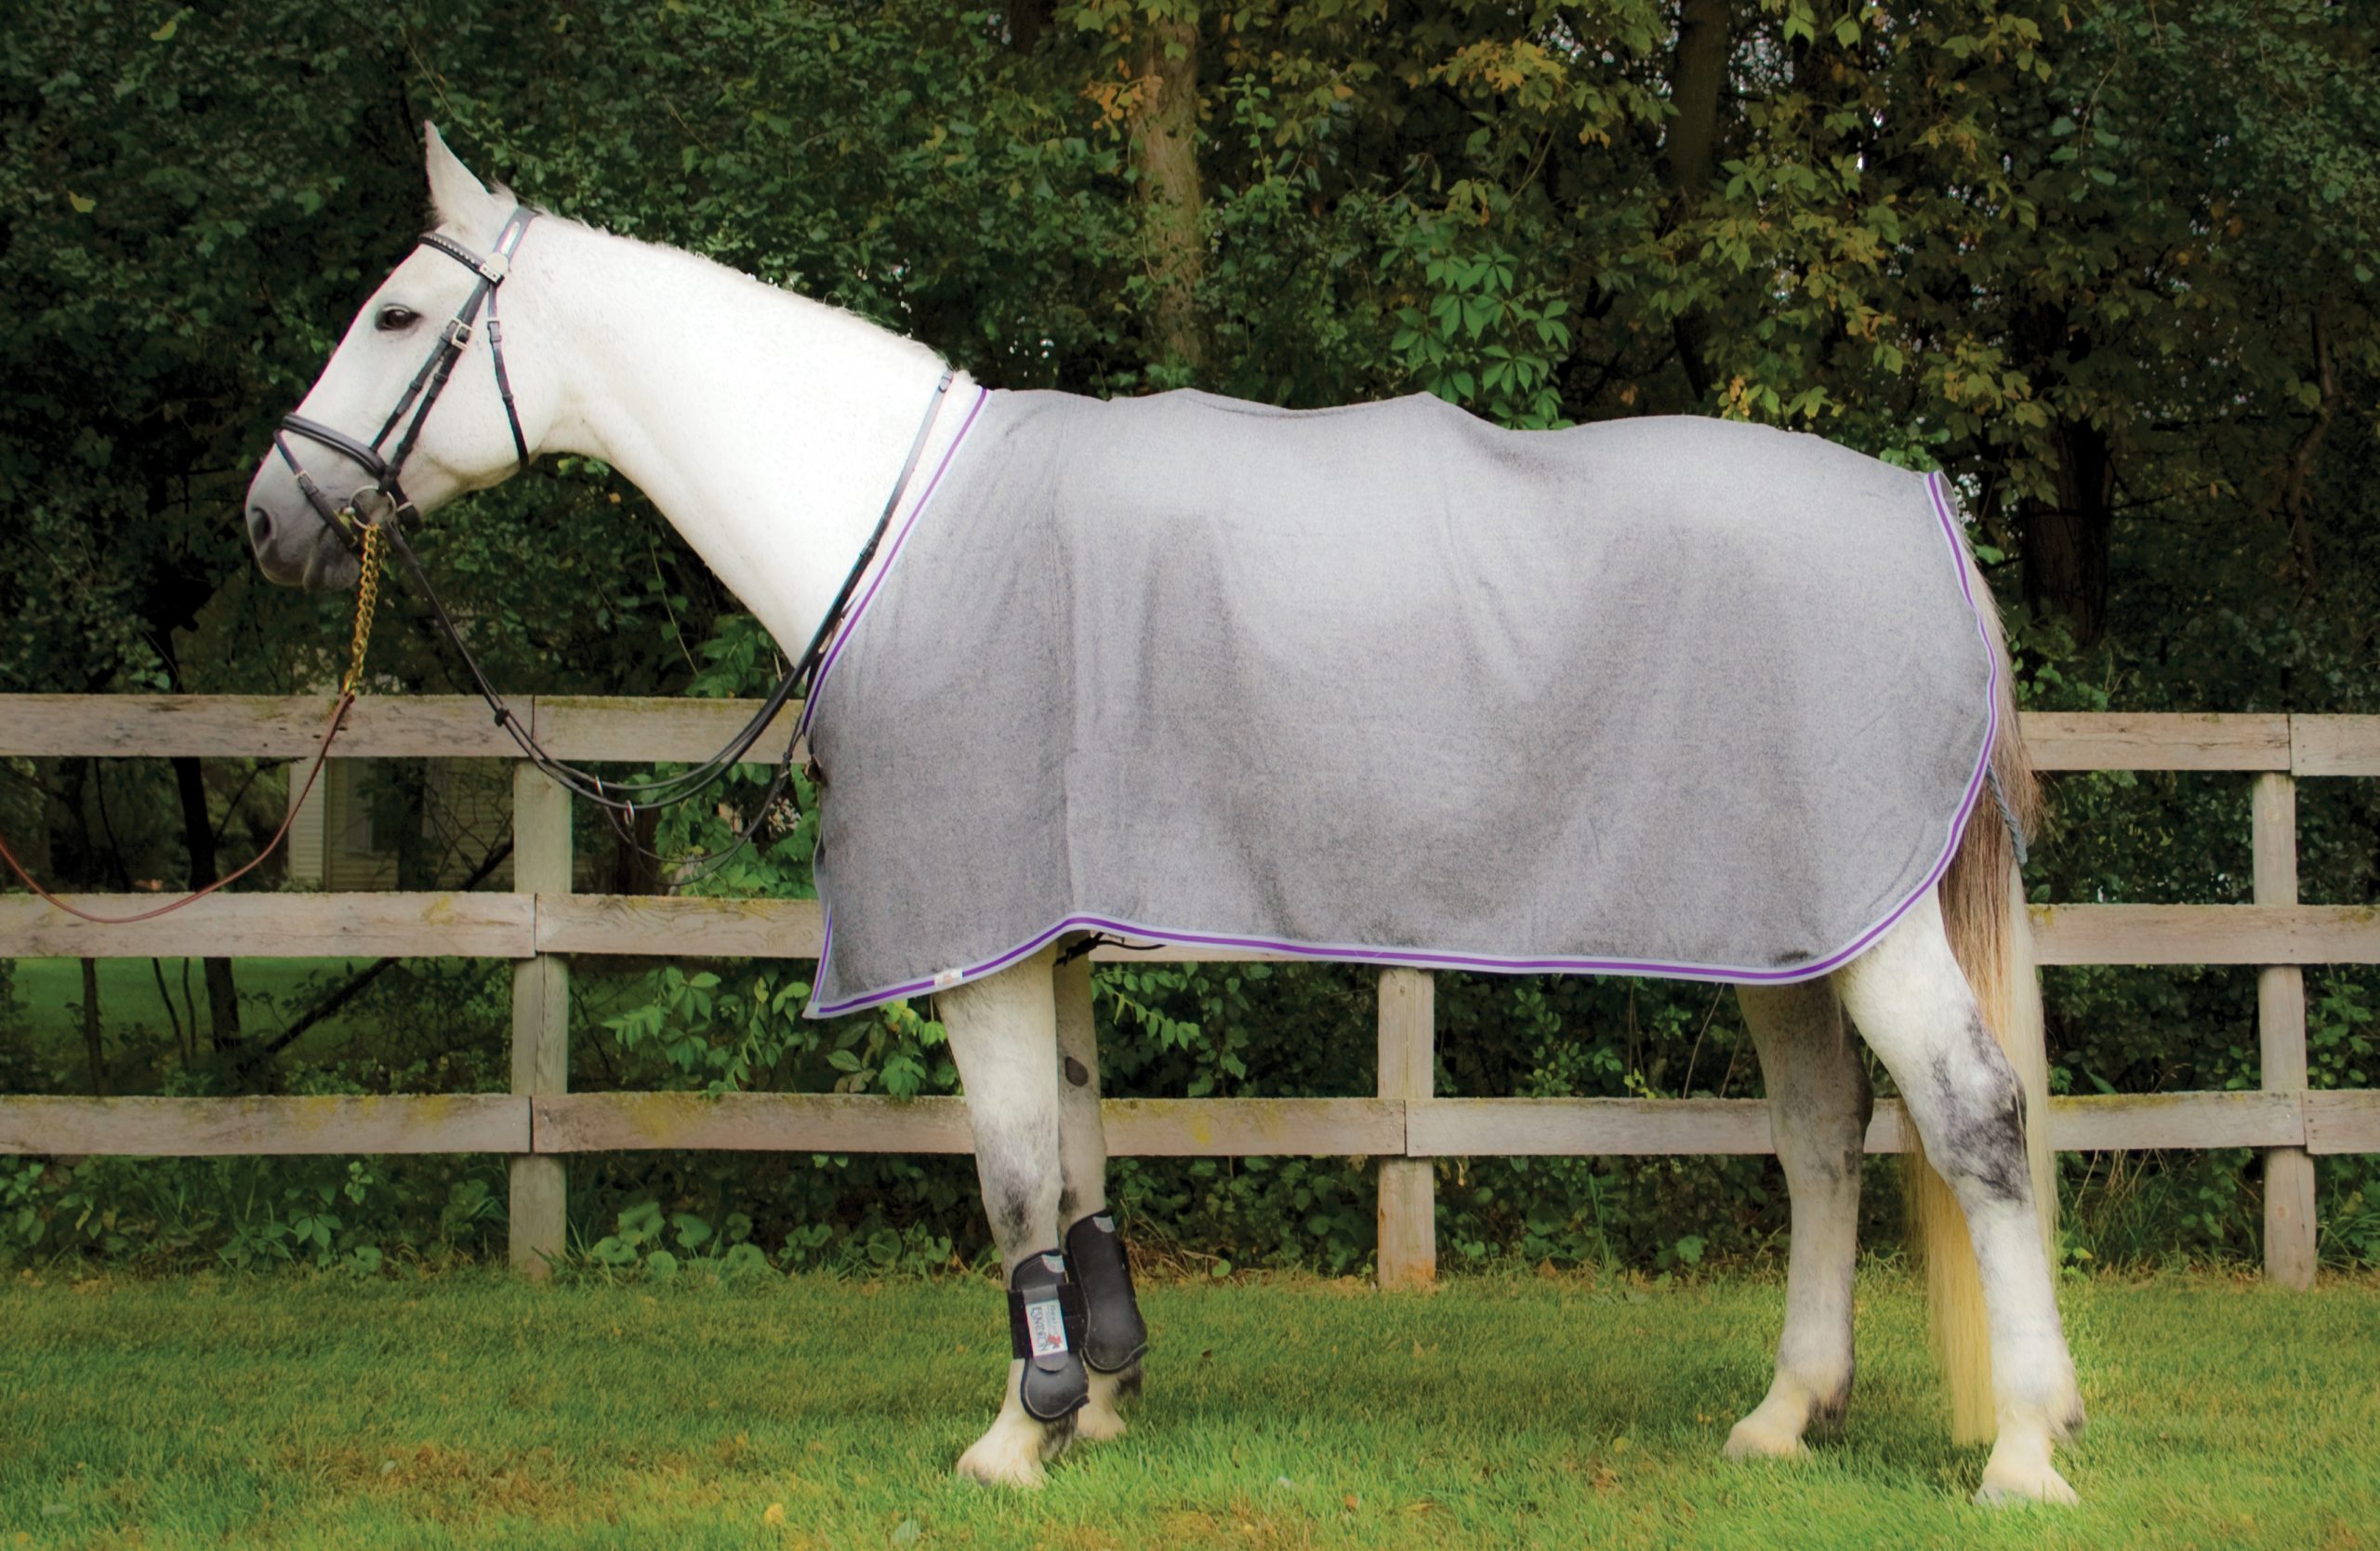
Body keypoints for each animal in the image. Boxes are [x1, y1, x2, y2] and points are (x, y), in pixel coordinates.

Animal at [242, 126, 2085, 1504]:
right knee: (1823, 1138)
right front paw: (1102, 1398)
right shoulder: (1044, 921)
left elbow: (1005, 1186)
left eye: (397, 317)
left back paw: (2026, 1449)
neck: (901, 528)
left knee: (1977, 1121)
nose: (268, 513)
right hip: (1791, 928)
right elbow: (1073, 1165)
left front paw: (1014, 1437)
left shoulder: (974, 942)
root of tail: (1928, 511)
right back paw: (1788, 1414)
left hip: (1865, 930)